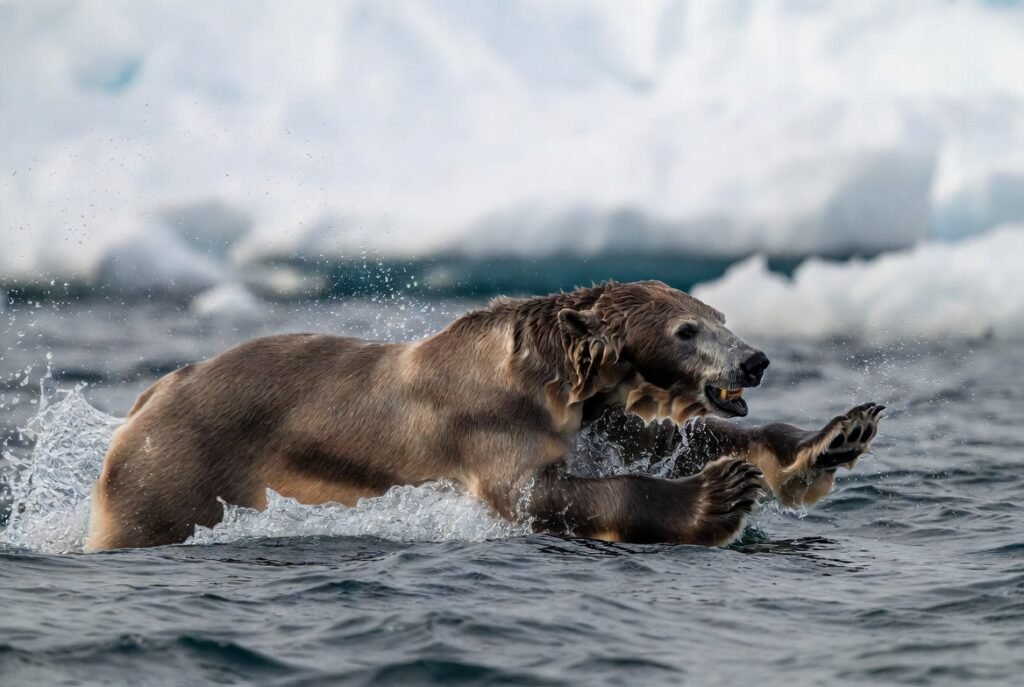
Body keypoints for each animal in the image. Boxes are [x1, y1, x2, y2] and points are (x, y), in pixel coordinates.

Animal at [85, 280, 883, 551]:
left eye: (719, 315)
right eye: (686, 331)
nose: (752, 361)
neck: (552, 381)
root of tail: (143, 402)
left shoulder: (594, 416)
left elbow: (663, 437)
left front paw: (834, 436)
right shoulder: (488, 420)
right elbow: (534, 491)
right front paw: (718, 495)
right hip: (179, 466)